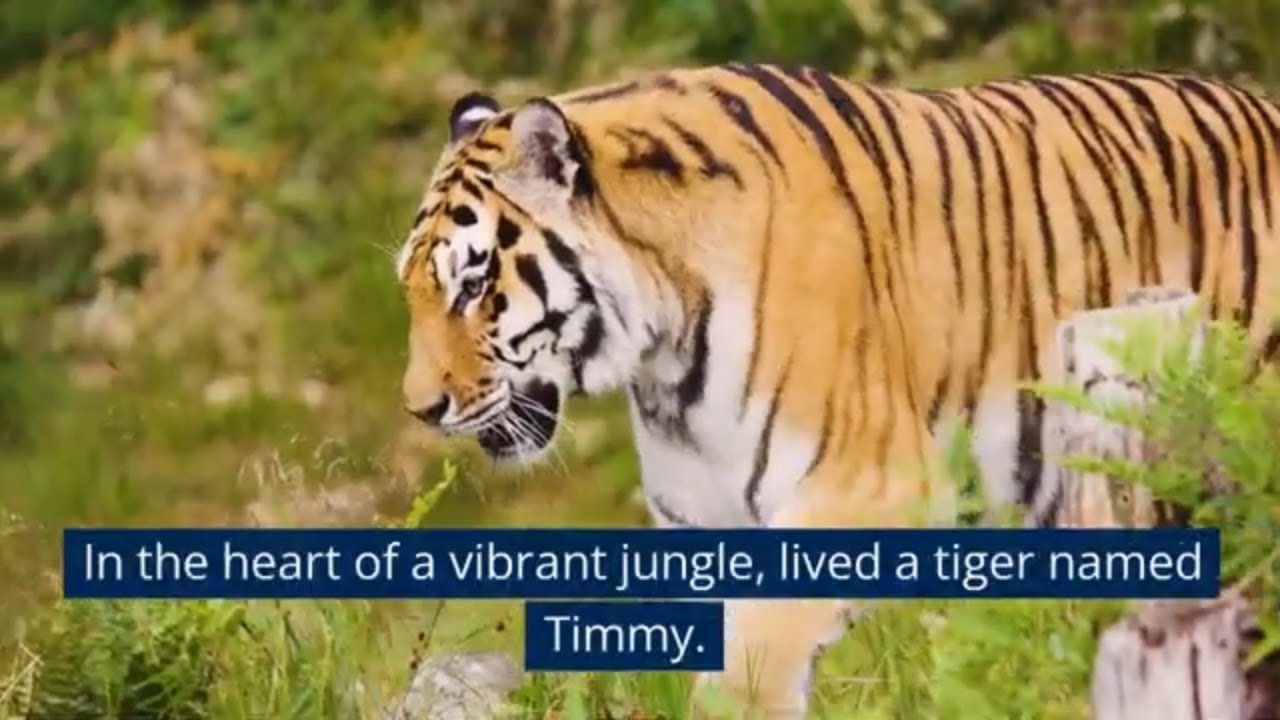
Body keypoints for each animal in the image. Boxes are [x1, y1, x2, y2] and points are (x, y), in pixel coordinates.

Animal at [395, 63, 1280, 717]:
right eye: (413, 287)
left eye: (472, 285)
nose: (420, 409)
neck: (662, 360)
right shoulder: (701, 521)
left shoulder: (869, 485)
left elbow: (752, 664)